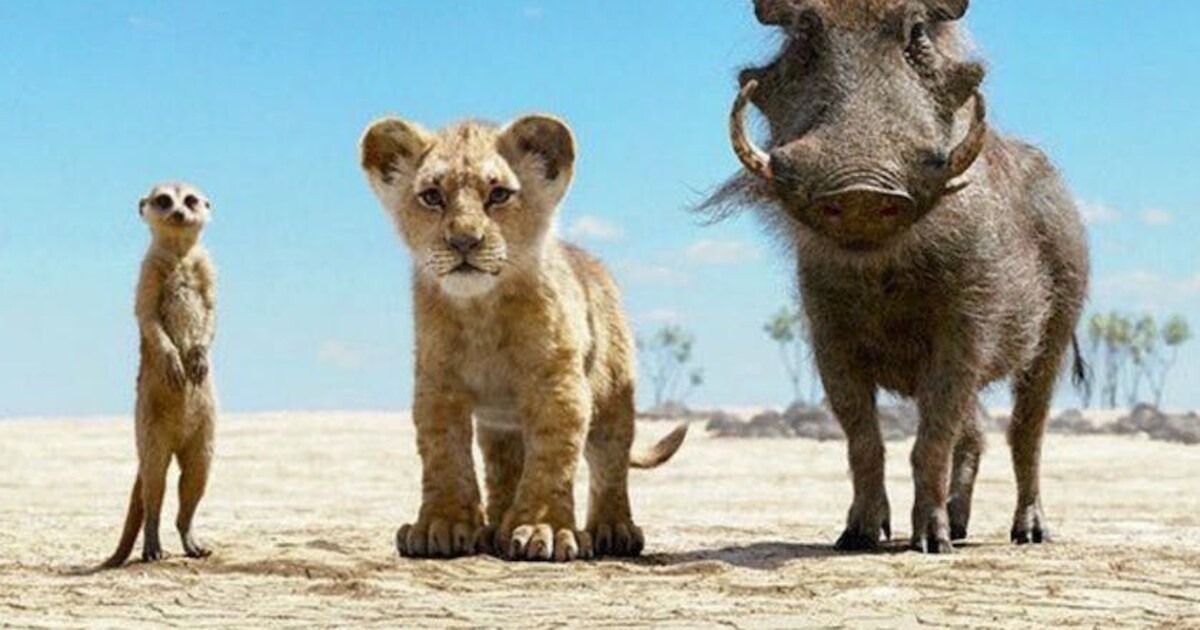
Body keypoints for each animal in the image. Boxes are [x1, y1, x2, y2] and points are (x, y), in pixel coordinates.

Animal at [359, 114, 687, 562]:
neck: (481, 310)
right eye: (431, 196)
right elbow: (444, 454)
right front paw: (442, 525)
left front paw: (542, 529)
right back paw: (496, 528)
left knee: (610, 461)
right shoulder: (437, 386)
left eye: (499, 194)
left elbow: (552, 457)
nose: (464, 241)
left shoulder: (558, 384)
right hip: (500, 425)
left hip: (613, 398)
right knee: (504, 467)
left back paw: (614, 530)